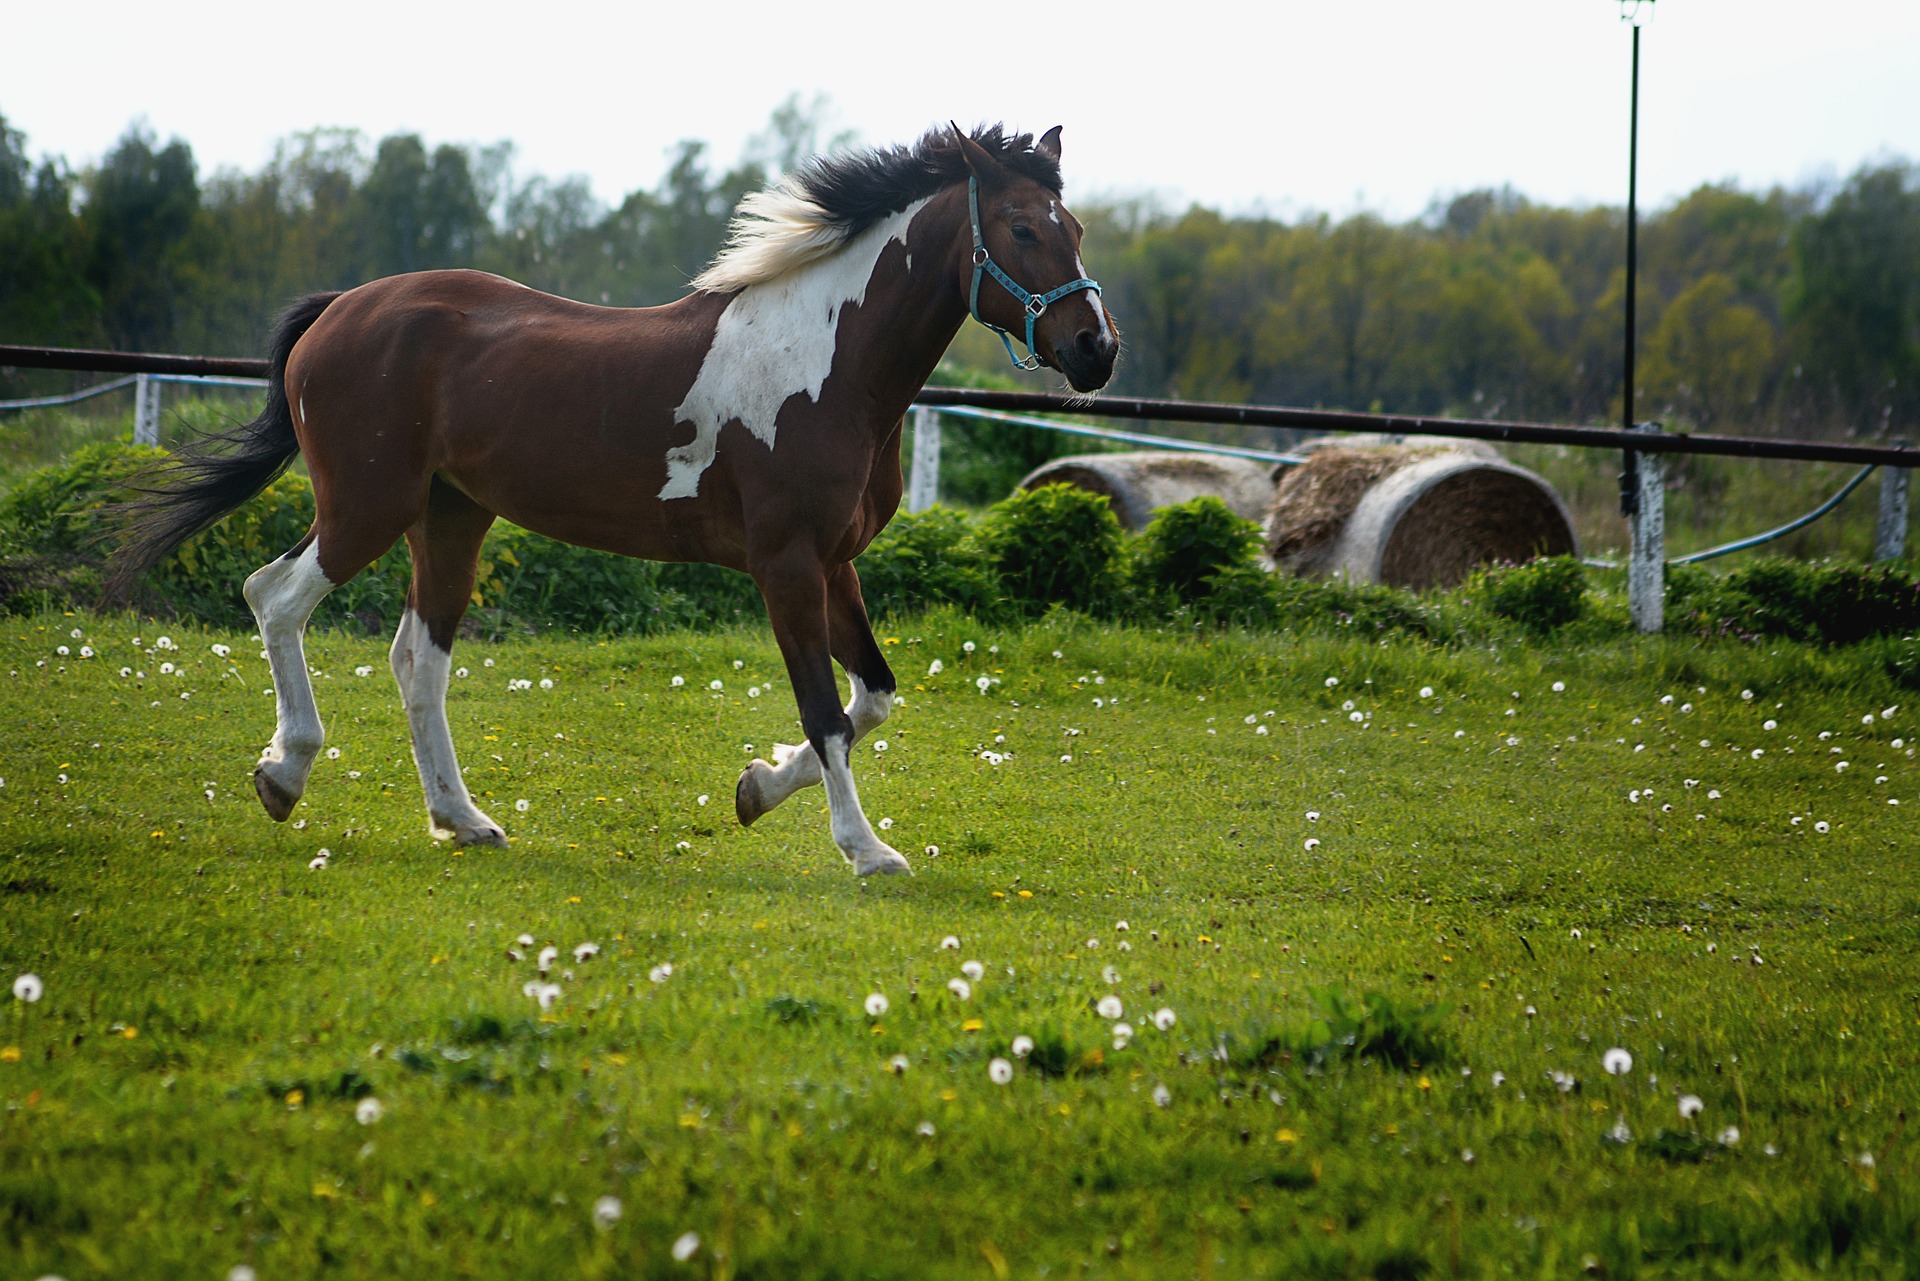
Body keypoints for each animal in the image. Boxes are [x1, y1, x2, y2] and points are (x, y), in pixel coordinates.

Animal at [108, 124, 1118, 876]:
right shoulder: (785, 564)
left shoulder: (836, 564)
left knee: (416, 660)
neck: (828, 362)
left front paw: (755, 788)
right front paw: (865, 849)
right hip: (367, 505)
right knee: (275, 597)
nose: (1095, 349)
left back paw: (462, 819)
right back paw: (283, 775)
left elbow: (872, 698)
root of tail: (339, 309)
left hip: (449, 516)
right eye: (1023, 229)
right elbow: (827, 713)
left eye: (1075, 226)